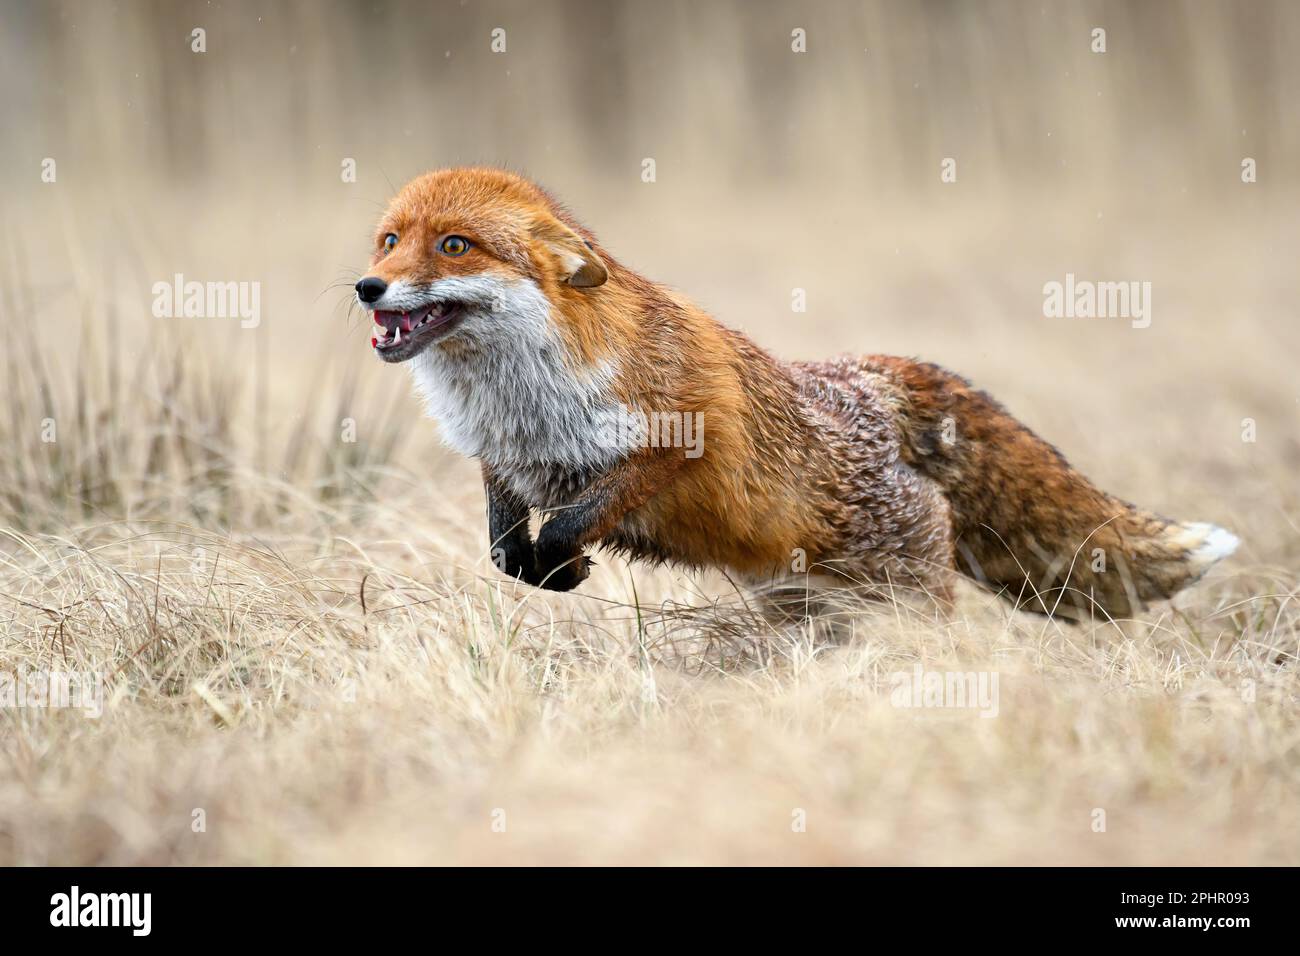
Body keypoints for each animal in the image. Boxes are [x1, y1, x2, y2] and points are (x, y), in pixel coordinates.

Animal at [355, 167, 1238, 621]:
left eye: (455, 245)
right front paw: (556, 574)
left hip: (900, 590)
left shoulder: (680, 444)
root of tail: (871, 373)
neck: (522, 396)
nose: (368, 288)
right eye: (390, 242)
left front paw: (563, 563)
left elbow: (571, 520)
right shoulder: (502, 462)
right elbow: (508, 550)